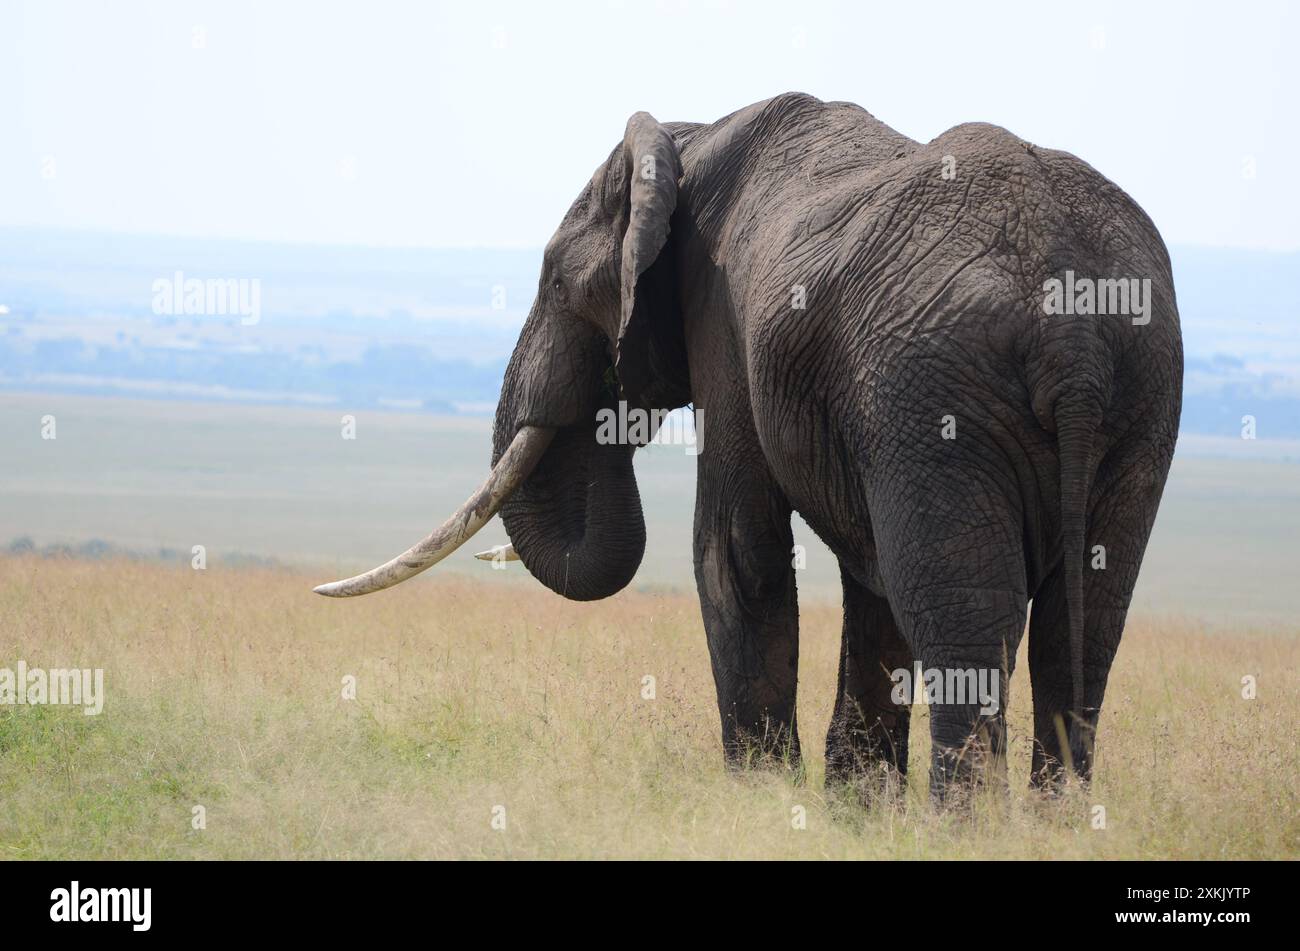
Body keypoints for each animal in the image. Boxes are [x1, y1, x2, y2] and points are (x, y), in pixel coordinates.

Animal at [315, 93, 1183, 798]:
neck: (683, 144)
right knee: (1084, 624)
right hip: (1138, 394)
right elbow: (867, 577)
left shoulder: (725, 319)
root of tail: (1070, 325)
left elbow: (733, 548)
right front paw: (854, 811)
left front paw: (764, 798)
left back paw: (963, 828)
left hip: (938, 387)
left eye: (557, 282)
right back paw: (1054, 824)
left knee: (962, 614)